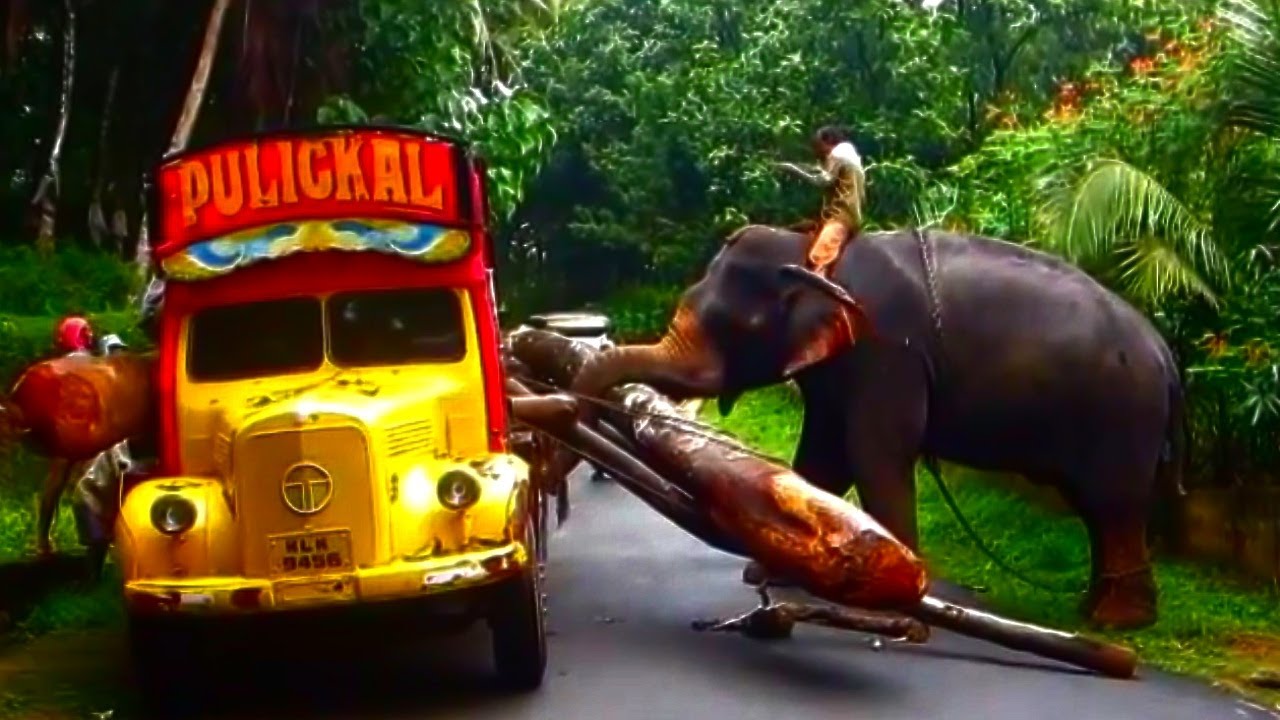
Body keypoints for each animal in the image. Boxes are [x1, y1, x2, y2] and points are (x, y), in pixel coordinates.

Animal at [569, 225, 1185, 630]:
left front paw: (896, 592)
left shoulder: (888, 353)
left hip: (1123, 415)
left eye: (733, 324)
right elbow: (822, 456)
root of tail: (1166, 354)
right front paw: (770, 570)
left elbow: (876, 453)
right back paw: (1103, 614)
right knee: (1104, 512)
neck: (812, 251)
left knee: (1112, 505)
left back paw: (1114, 624)